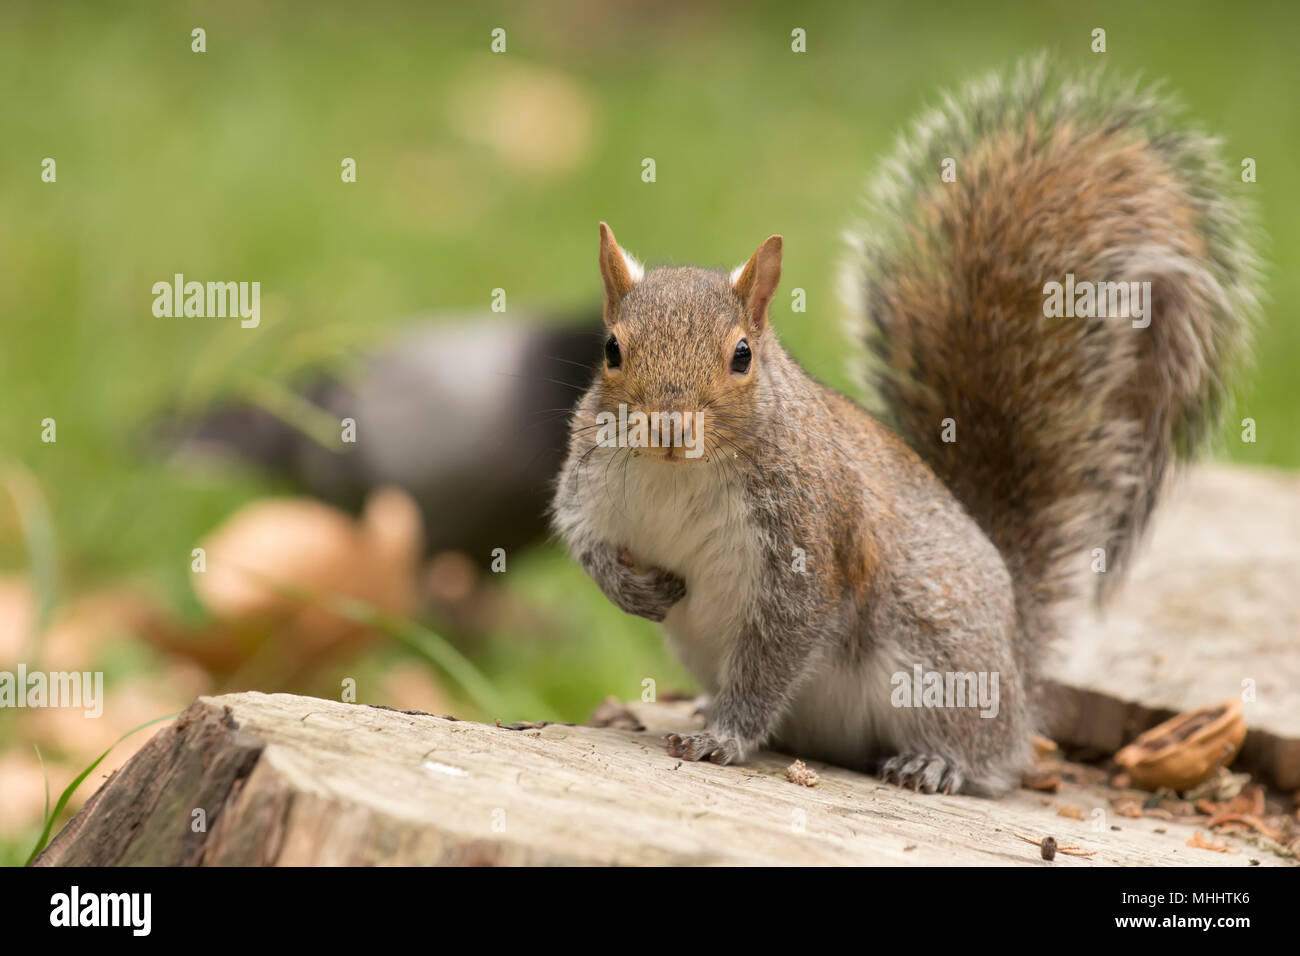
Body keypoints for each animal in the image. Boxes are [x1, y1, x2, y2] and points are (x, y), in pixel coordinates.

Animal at [550, 60, 1259, 795]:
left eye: (741, 355)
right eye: (611, 350)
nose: (668, 430)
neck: (680, 476)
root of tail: (1019, 663)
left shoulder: (809, 545)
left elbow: (776, 652)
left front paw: (725, 736)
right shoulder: (591, 486)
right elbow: (584, 543)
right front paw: (634, 591)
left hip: (938, 657)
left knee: (986, 754)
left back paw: (934, 761)